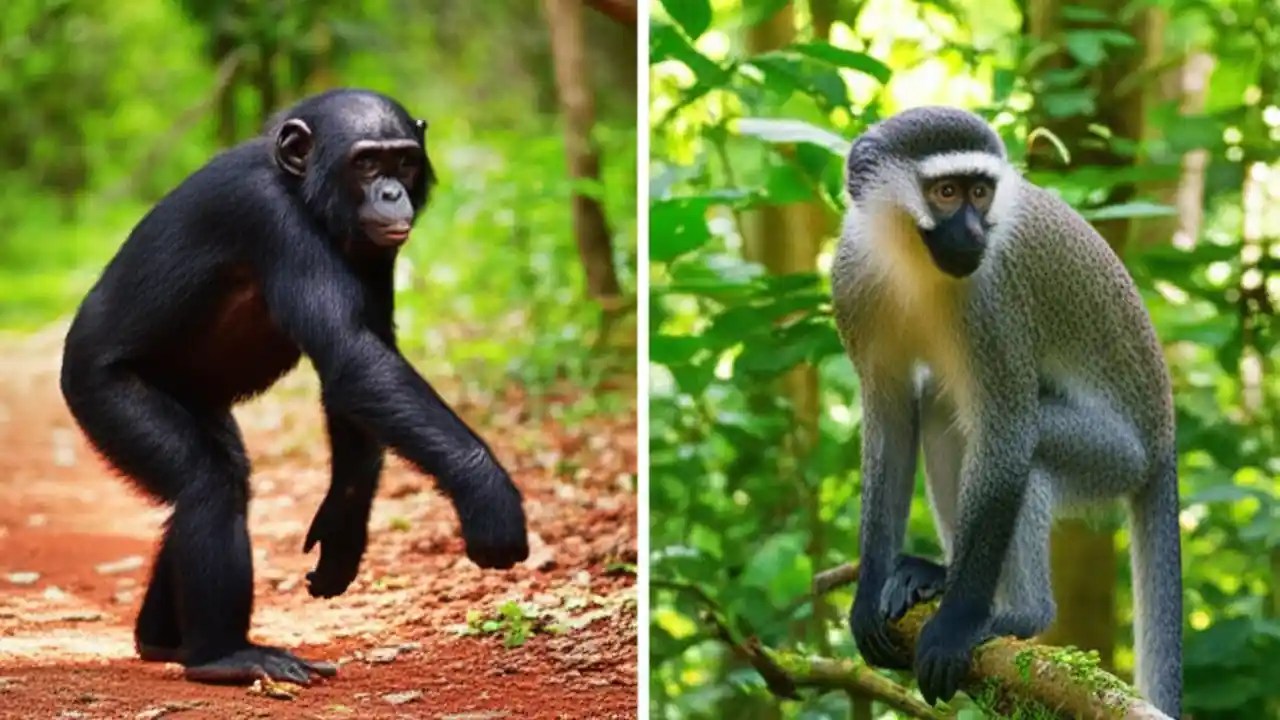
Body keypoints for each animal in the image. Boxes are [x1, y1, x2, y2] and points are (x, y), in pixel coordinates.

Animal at [60, 89, 530, 685]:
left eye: (403, 161)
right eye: (367, 164)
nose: (392, 192)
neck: (301, 191)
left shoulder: (375, 252)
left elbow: (358, 368)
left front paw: (341, 536)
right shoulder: (271, 218)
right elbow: (354, 358)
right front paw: (489, 495)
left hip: (199, 401)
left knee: (224, 478)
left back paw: (163, 639)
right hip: (101, 393)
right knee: (208, 484)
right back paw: (222, 656)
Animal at [830, 106, 1182, 715]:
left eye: (981, 191)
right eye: (947, 193)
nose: (975, 233)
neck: (910, 257)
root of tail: (1163, 441)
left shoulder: (993, 303)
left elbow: (1010, 432)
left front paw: (956, 625)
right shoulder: (852, 282)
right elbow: (891, 421)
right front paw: (868, 592)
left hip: (1116, 456)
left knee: (1032, 452)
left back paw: (1022, 613)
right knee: (942, 410)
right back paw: (939, 574)